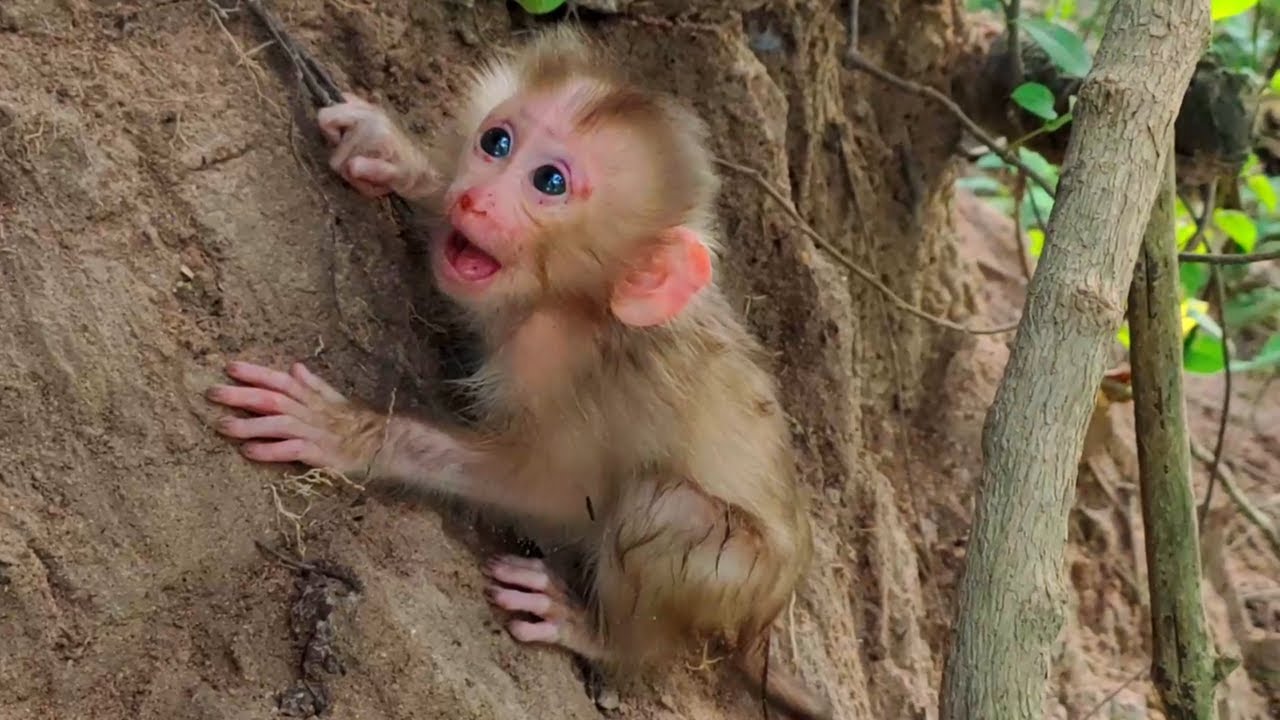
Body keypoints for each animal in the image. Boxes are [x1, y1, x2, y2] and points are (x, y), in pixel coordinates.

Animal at [206, 26, 832, 720]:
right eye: (496, 143)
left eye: (549, 181)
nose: (475, 198)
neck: (579, 303)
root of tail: (767, 620)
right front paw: (395, 155)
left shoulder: (555, 359)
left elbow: (550, 489)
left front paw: (346, 432)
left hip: (738, 581)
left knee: (670, 512)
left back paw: (603, 637)